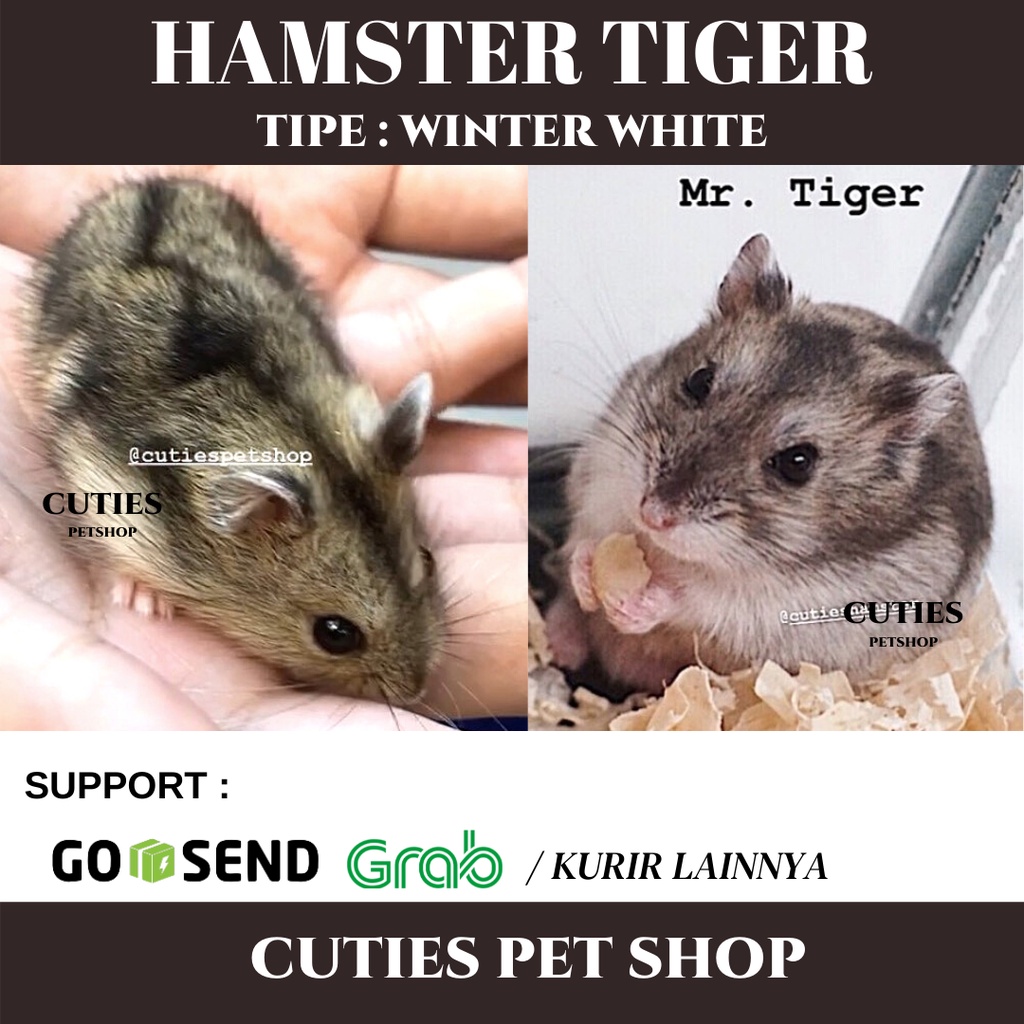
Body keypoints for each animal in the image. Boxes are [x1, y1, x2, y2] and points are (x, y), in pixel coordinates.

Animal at [24, 177, 443, 704]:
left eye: (429, 560)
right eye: (335, 634)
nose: (417, 692)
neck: (303, 436)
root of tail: (160, 181)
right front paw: (145, 604)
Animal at [547, 235, 993, 693]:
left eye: (798, 462)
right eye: (698, 381)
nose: (652, 515)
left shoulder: (791, 608)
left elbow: (697, 599)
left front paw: (637, 605)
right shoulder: (601, 478)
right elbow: (586, 538)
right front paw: (587, 572)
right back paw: (560, 643)